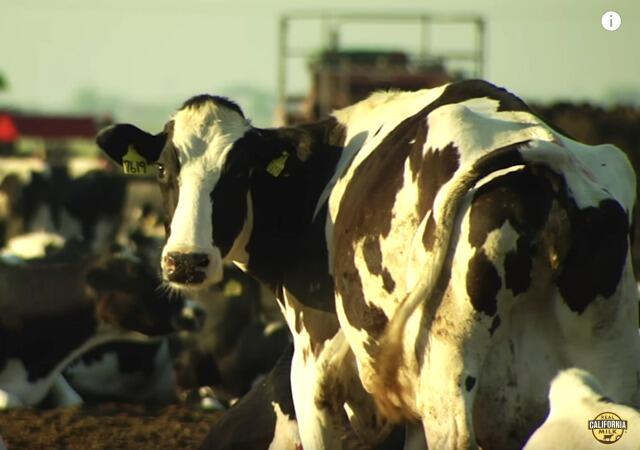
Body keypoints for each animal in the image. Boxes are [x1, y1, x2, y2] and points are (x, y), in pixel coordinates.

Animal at [97, 79, 640, 449]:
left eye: (238, 171)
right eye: (163, 168)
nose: (186, 261)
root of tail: (539, 155)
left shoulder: (314, 369)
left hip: (448, 389)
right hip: (607, 370)